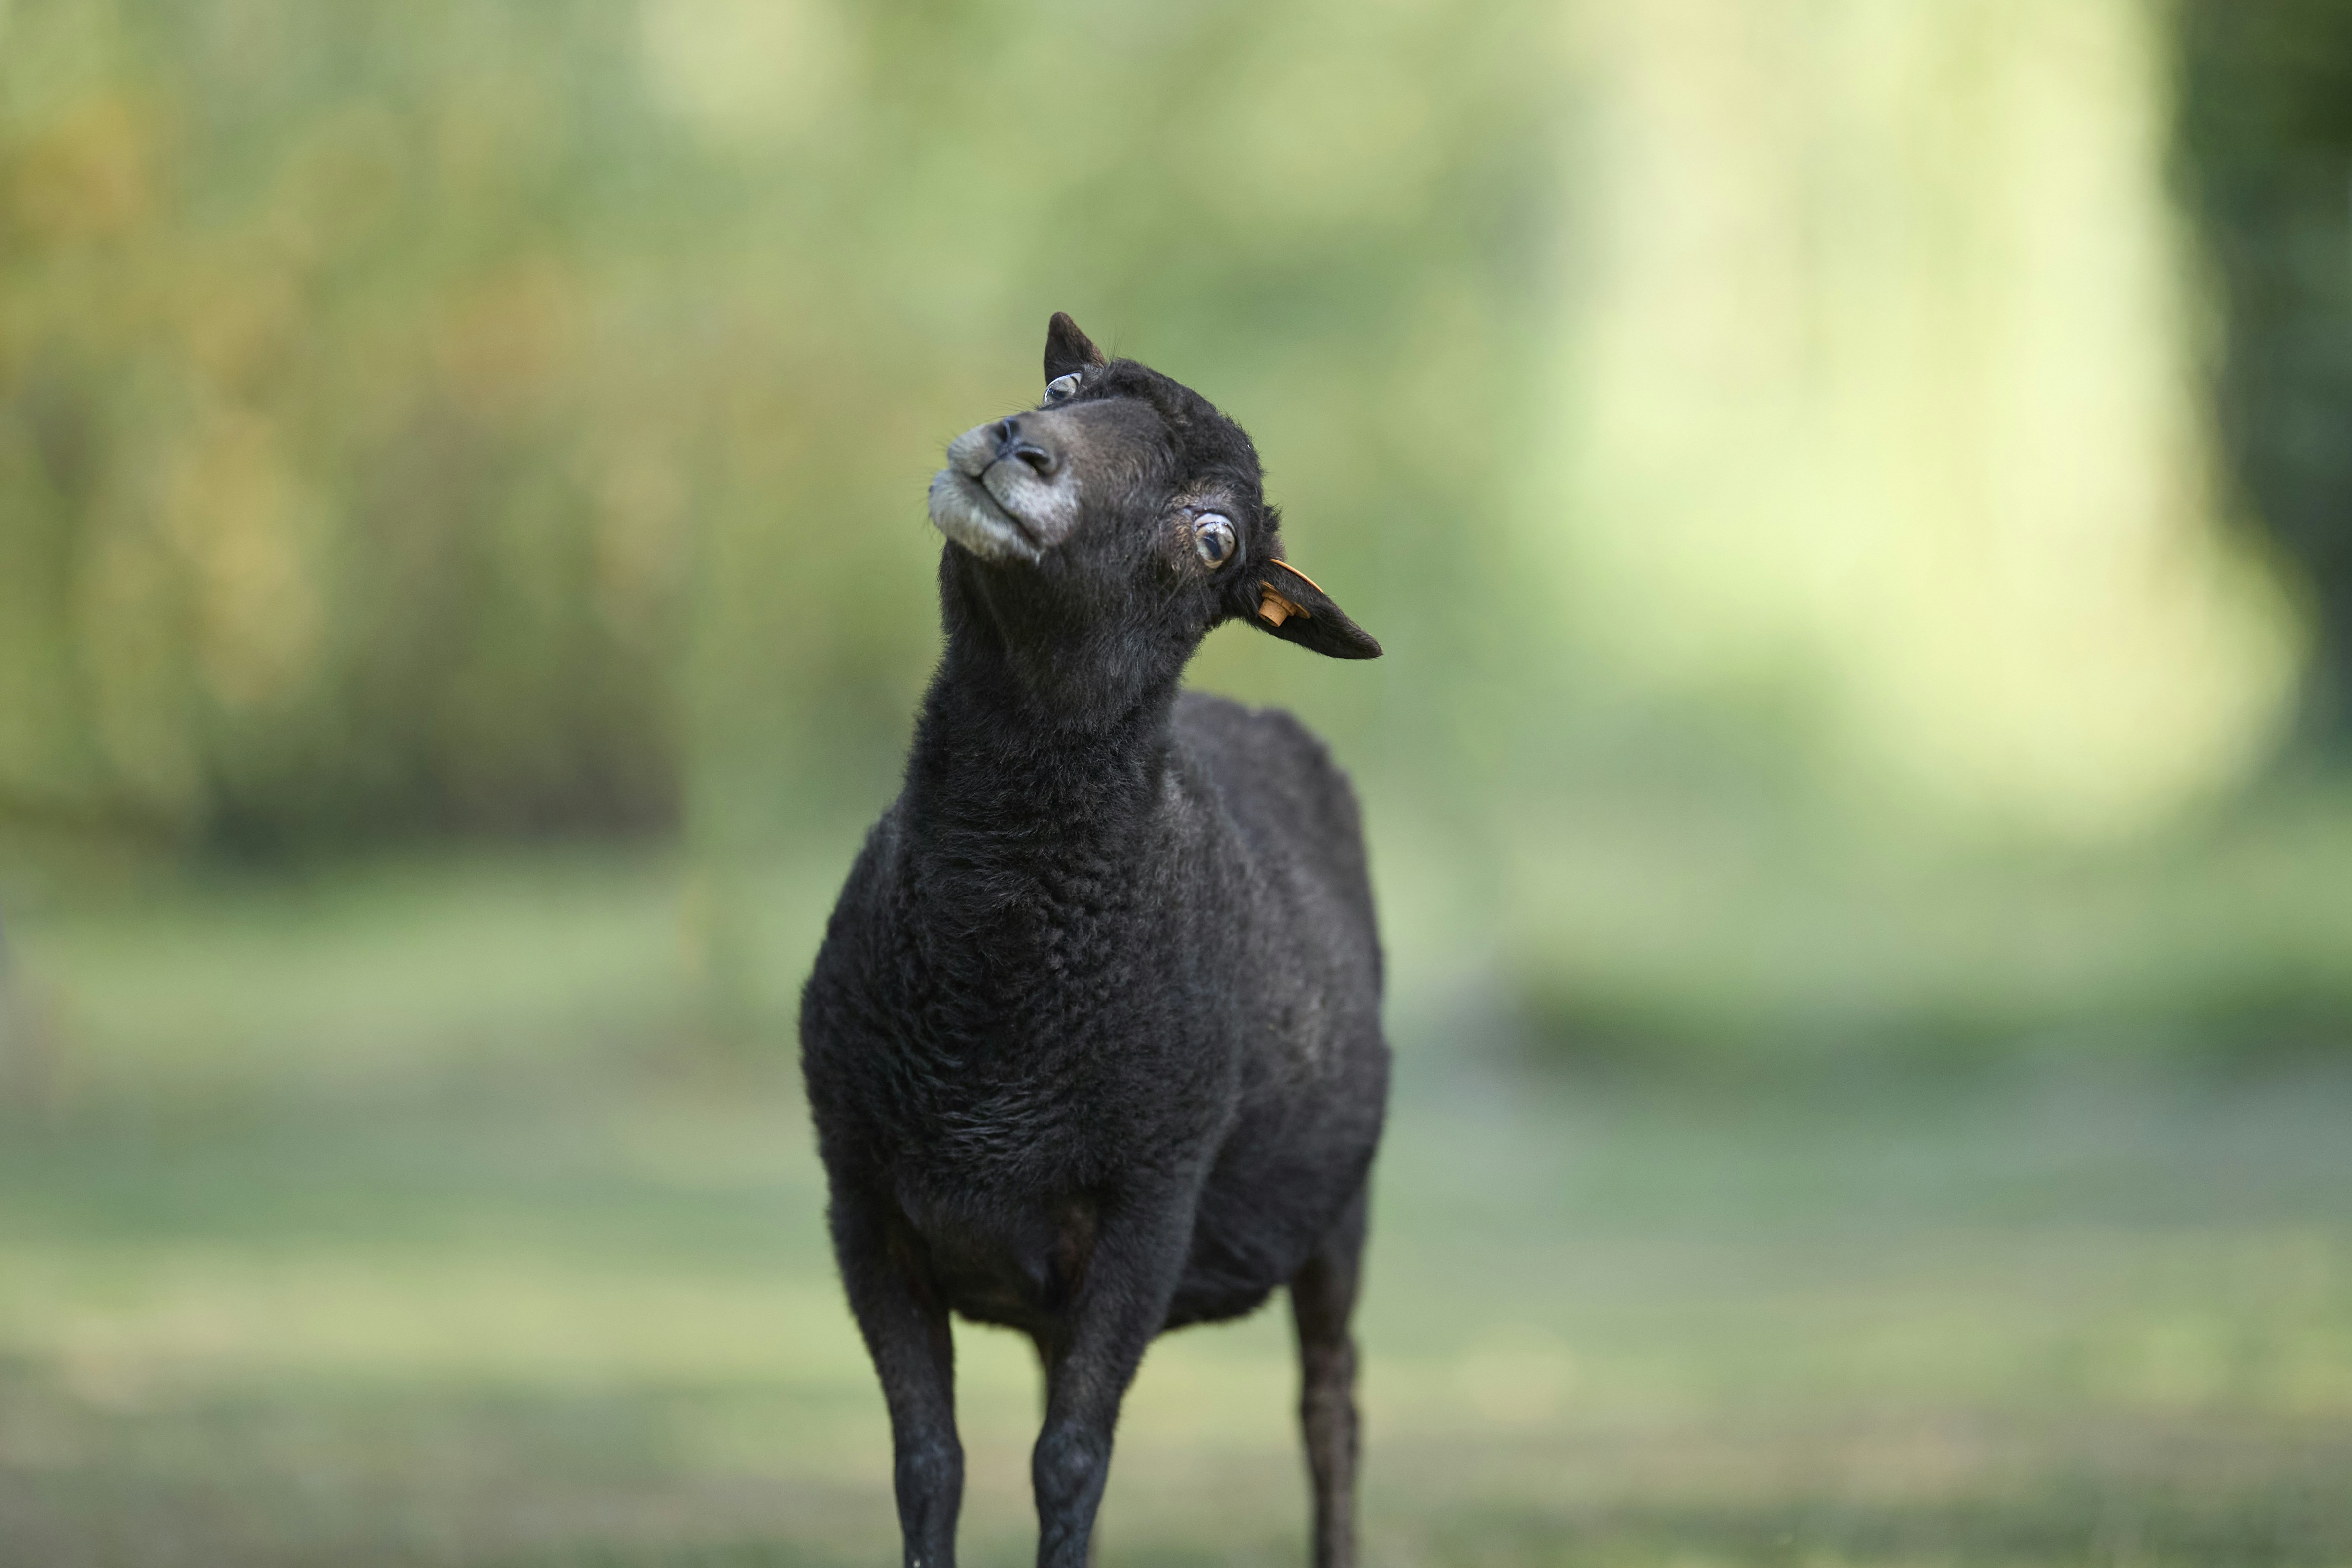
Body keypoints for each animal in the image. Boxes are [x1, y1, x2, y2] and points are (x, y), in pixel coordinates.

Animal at [800, 313, 1390, 1568]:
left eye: (1214, 539)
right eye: (1069, 384)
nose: (1017, 442)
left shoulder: (1149, 1202)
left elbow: (1069, 1460)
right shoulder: (862, 1201)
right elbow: (930, 1463)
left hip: (1340, 1214)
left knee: (1329, 1406)